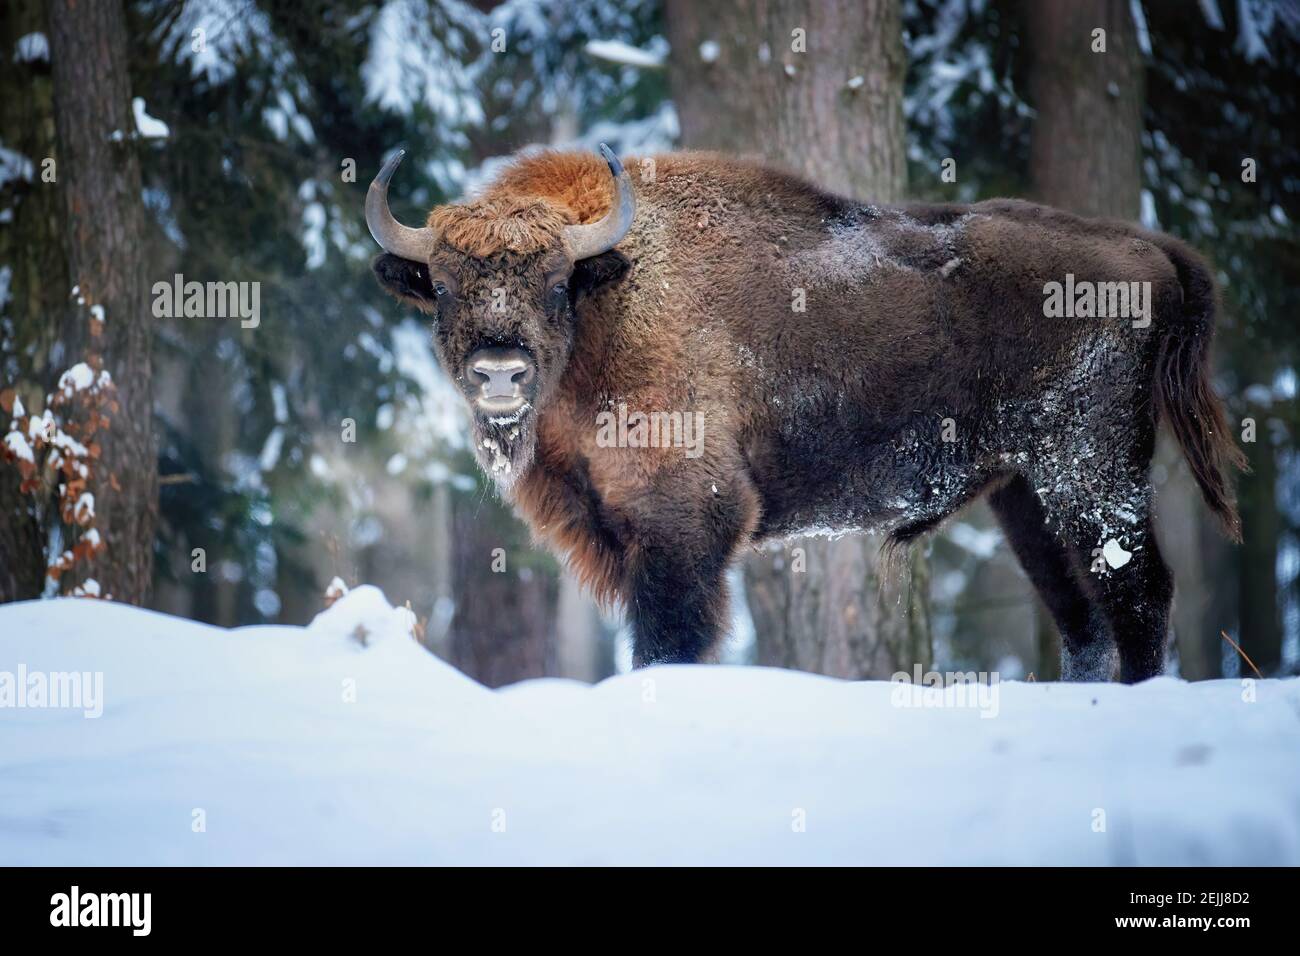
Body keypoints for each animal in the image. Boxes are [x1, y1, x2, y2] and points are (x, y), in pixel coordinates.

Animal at [367, 143, 1245, 682]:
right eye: (442, 286)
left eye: (555, 283)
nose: (500, 372)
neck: (611, 296)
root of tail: (1148, 250)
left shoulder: (684, 523)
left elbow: (669, 641)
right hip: (1024, 492)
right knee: (1082, 618)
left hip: (1090, 477)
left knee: (1140, 595)